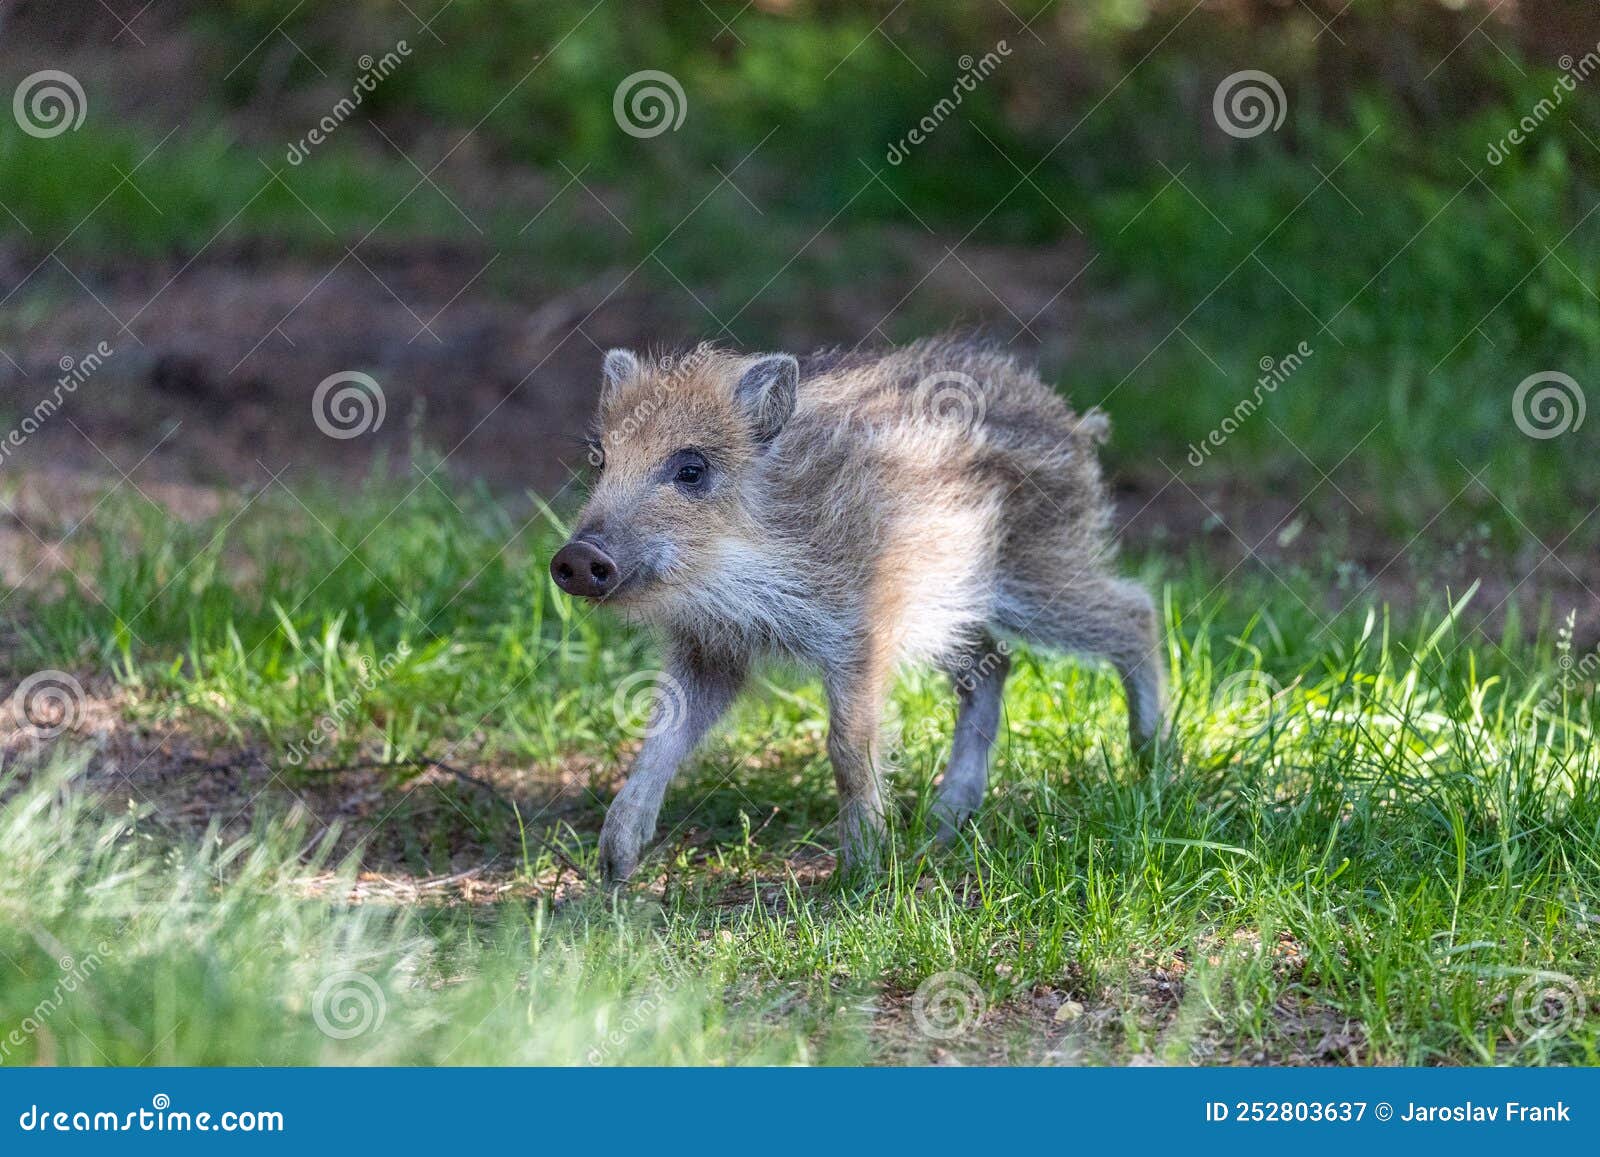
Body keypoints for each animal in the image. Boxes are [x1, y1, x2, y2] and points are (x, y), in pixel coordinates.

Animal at [550, 337, 1168, 882]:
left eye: (691, 469)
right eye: (601, 460)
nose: (577, 556)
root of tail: (1075, 425)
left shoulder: (863, 630)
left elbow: (847, 745)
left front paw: (860, 873)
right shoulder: (711, 649)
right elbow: (661, 735)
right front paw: (614, 867)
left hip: (1037, 574)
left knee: (1134, 613)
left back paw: (1153, 765)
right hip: (952, 605)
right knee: (992, 666)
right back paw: (945, 824)